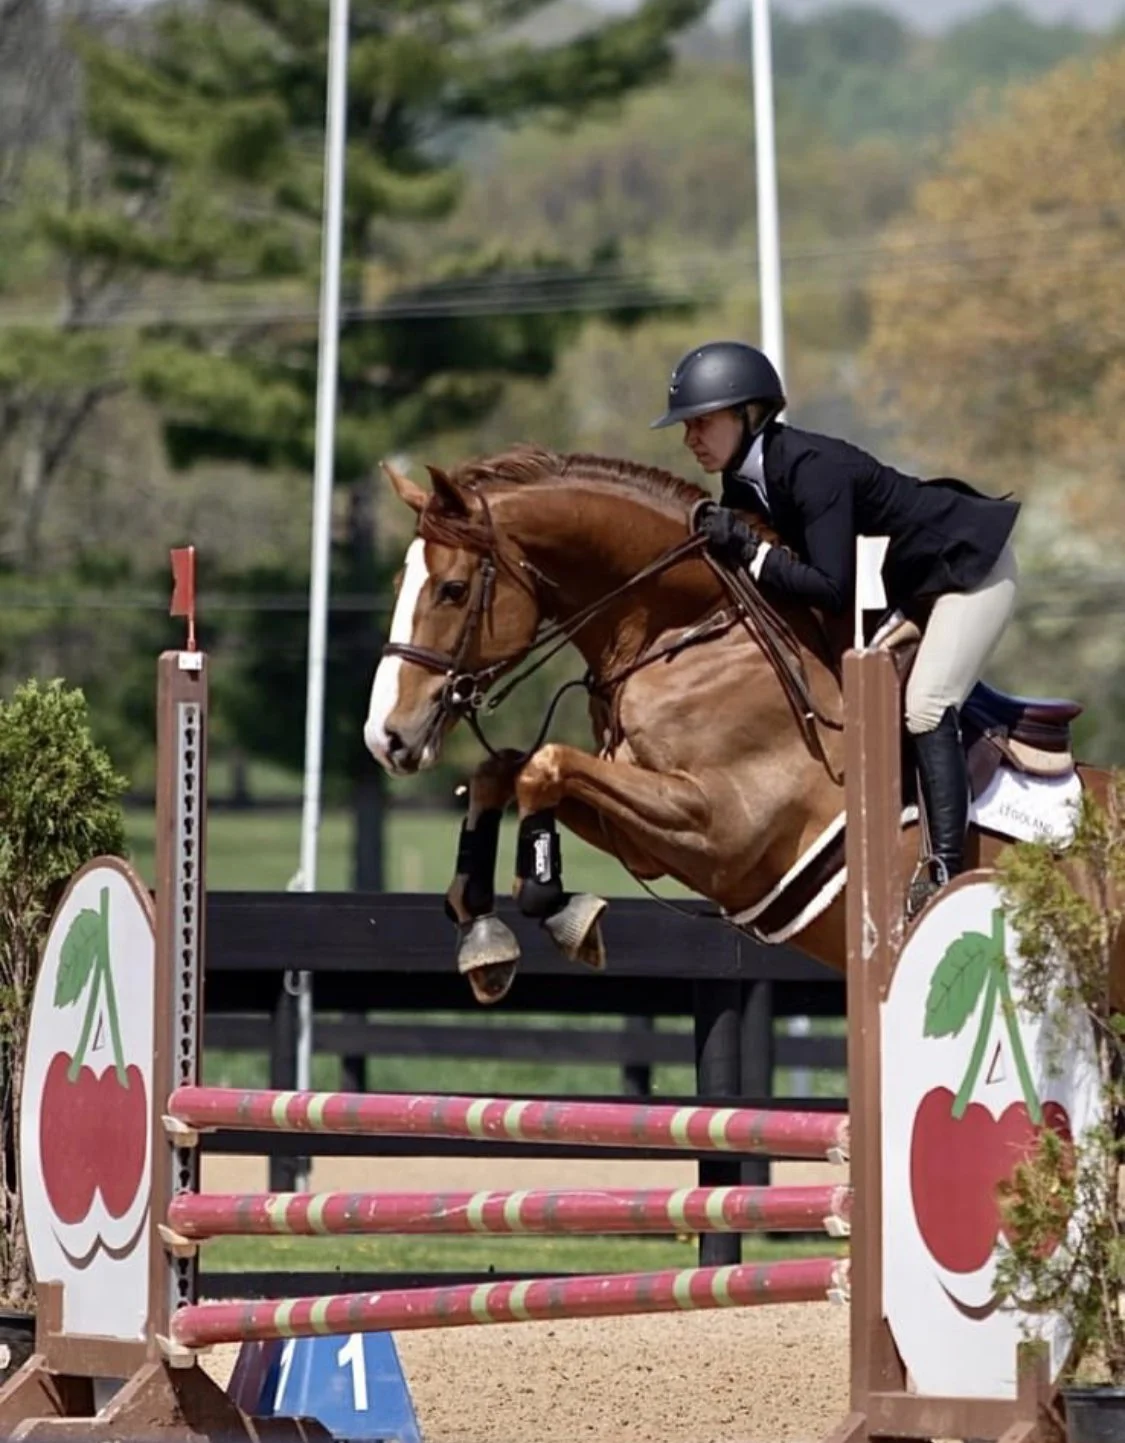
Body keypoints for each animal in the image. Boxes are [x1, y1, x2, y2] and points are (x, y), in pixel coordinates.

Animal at [363, 444, 1123, 1007]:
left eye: (452, 589)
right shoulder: (645, 832)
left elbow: (543, 765)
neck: (691, 632)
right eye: (399, 583)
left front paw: (558, 908)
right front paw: (484, 934)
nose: (387, 737)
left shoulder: (719, 826)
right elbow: (507, 770)